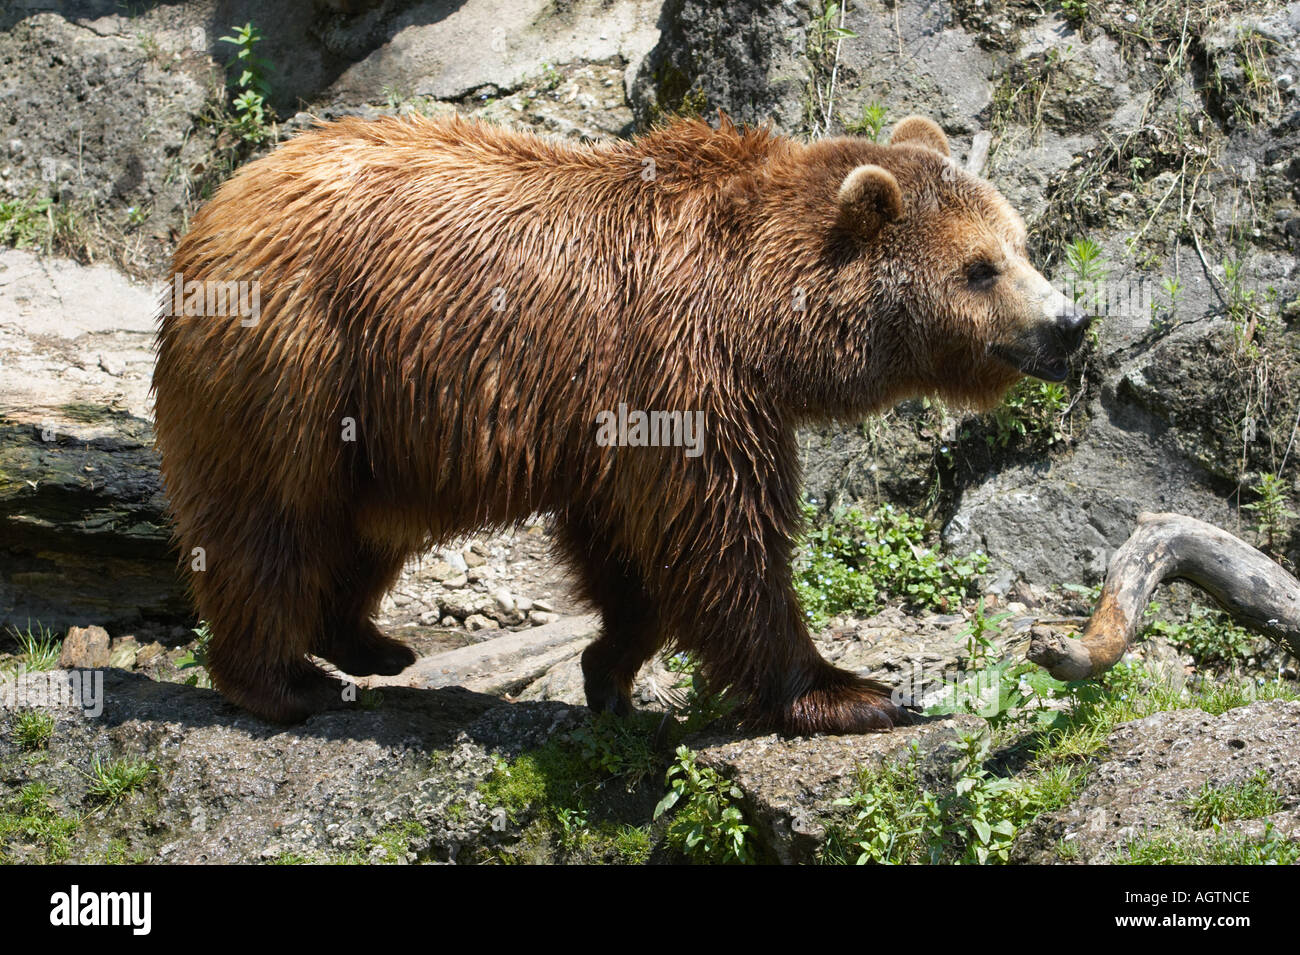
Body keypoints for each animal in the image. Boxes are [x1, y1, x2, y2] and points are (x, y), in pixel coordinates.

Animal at [152, 112, 1088, 733]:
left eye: (1021, 243)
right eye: (980, 268)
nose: (1070, 322)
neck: (764, 313)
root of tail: (217, 205)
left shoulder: (617, 410)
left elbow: (629, 542)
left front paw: (608, 668)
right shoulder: (682, 367)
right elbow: (720, 533)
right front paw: (850, 689)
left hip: (380, 419)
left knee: (364, 526)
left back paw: (370, 642)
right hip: (301, 356)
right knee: (268, 517)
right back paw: (283, 680)